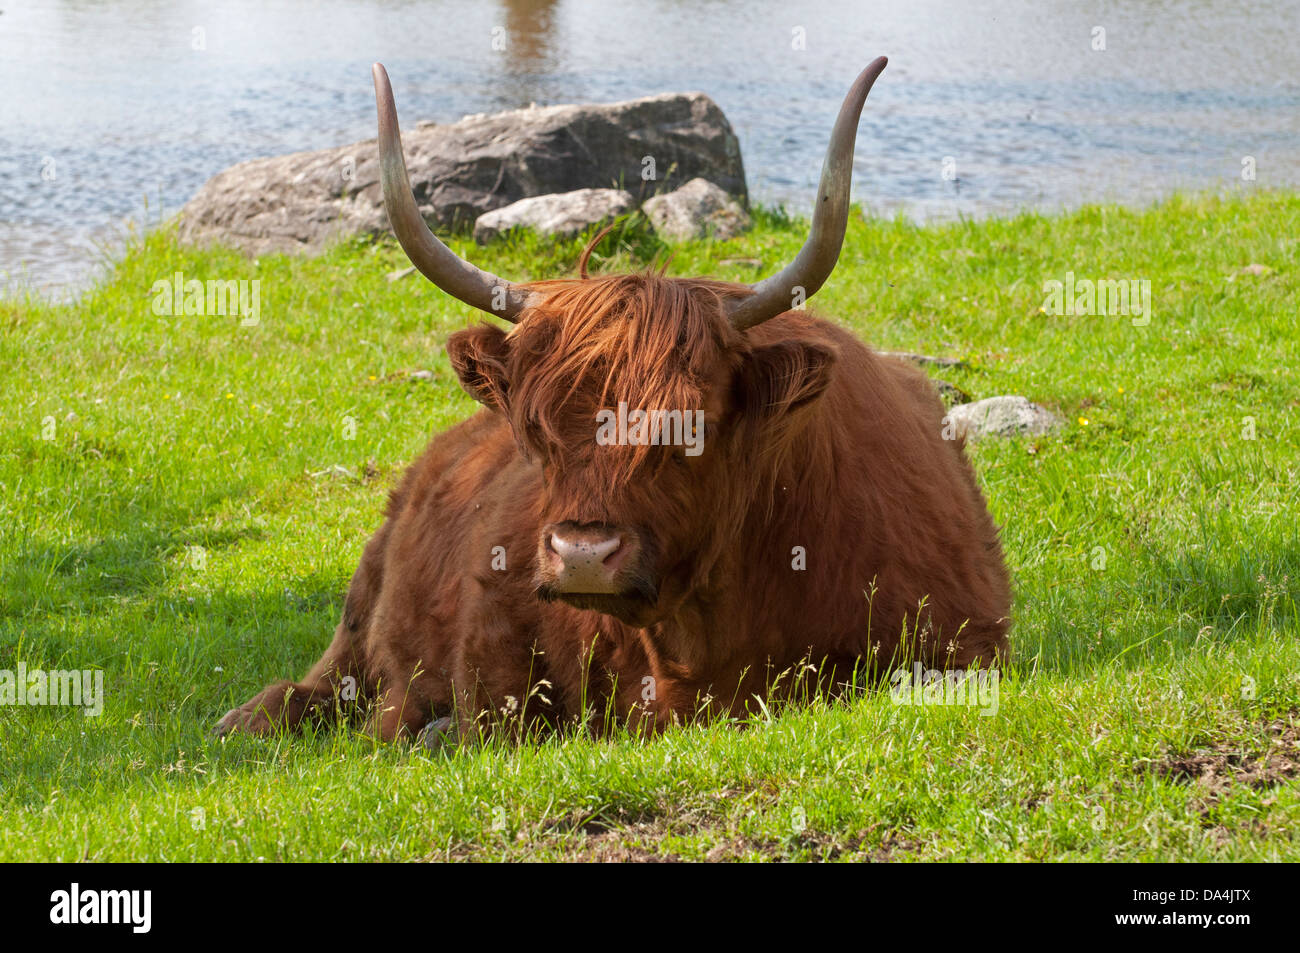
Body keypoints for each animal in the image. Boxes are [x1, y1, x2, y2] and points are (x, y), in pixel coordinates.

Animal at [216, 57, 1011, 745]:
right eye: (536, 431)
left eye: (691, 428)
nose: (582, 556)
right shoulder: (491, 619)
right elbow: (480, 710)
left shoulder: (969, 645)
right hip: (367, 587)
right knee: (323, 677)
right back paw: (248, 716)